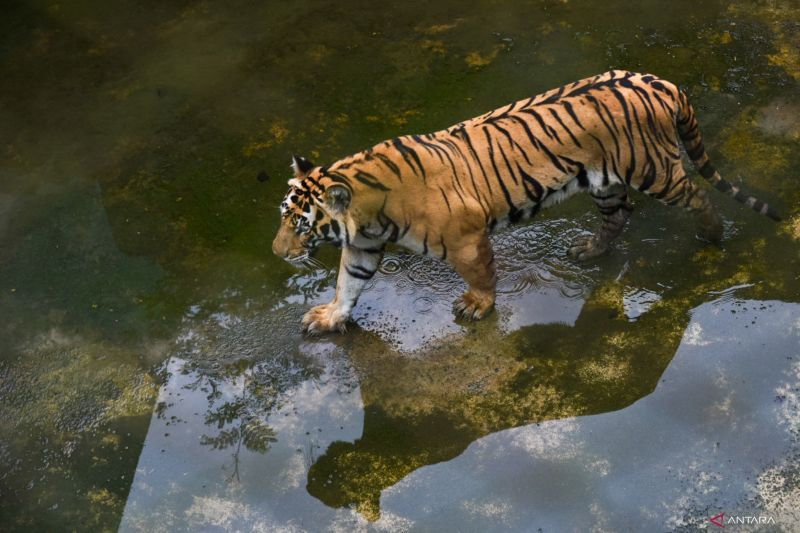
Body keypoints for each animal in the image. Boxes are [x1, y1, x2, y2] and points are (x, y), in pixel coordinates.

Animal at [272, 70, 781, 333]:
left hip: (653, 171)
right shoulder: (362, 246)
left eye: (301, 225)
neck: (366, 214)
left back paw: (711, 236)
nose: (277, 253)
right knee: (620, 216)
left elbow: (480, 275)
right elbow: (349, 284)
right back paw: (589, 250)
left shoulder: (467, 237)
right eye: (284, 217)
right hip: (605, 182)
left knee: (697, 195)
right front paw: (330, 316)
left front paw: (477, 307)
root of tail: (659, 81)